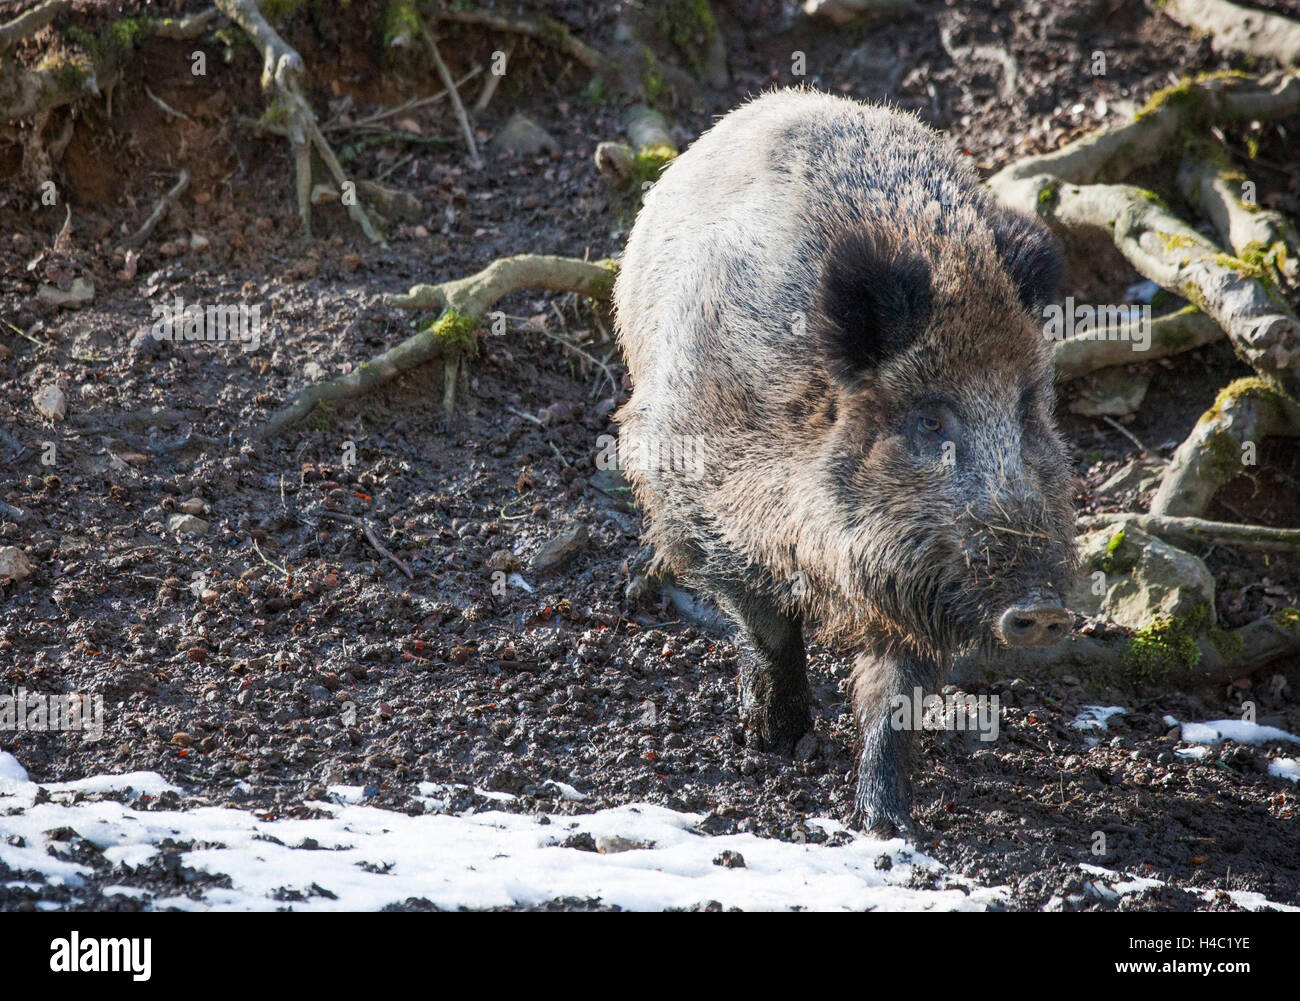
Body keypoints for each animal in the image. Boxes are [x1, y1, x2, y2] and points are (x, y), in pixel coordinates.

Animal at [612, 89, 1077, 836]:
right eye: (929, 419)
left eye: (1028, 408)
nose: (1043, 610)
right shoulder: (703, 502)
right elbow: (768, 628)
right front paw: (776, 742)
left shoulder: (920, 581)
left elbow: (896, 696)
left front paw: (886, 823)